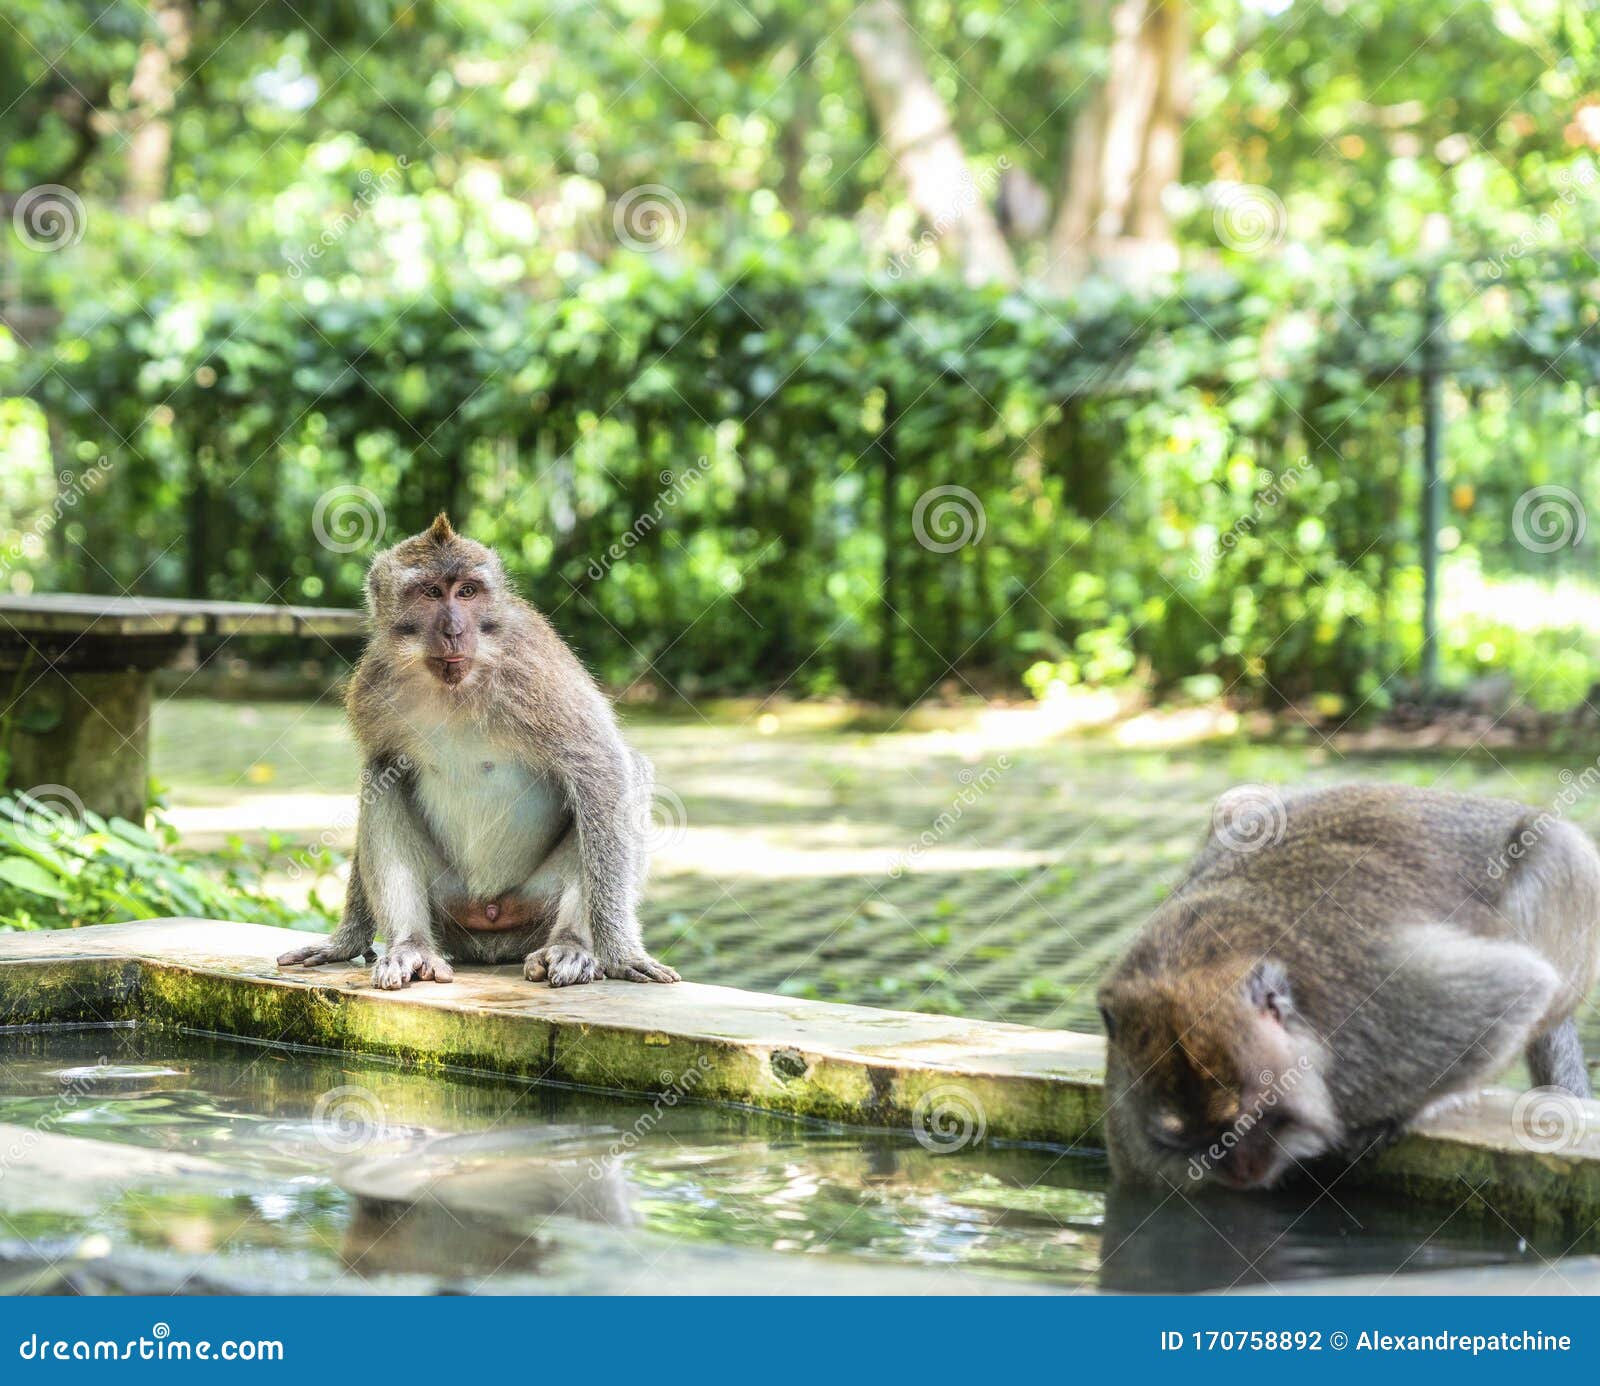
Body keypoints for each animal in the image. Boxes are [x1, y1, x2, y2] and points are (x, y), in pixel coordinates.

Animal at [277, 513, 678, 990]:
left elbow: (600, 768)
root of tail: (489, 923)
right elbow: (382, 765)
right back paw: (410, 946)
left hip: (532, 905)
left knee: (625, 773)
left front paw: (620, 951)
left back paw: (571, 945)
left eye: (467, 591)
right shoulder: (372, 686)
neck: (454, 686)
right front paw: (346, 940)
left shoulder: (532, 672)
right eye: (431, 592)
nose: (454, 630)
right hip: (451, 907)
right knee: (379, 775)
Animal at [1096, 782, 1600, 1192]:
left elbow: (1516, 987)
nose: (1239, 1172)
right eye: (1188, 1142)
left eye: (1253, 1121)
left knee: (1556, 850)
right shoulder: (1125, 1127)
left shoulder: (1373, 1025)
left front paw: (1408, 1112)